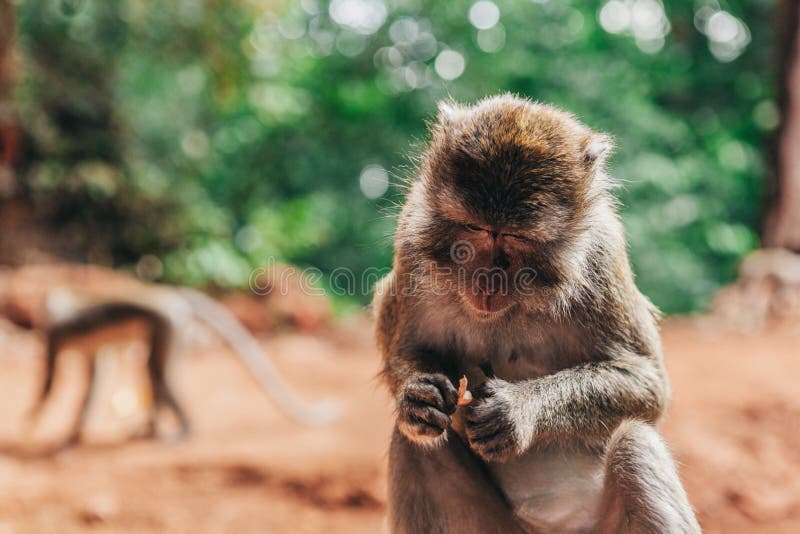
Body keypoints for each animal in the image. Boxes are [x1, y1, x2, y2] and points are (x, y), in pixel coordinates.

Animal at [24, 283, 339, 448]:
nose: (41, 312)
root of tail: (171, 295)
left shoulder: (55, 333)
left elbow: (50, 380)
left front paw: (34, 418)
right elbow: (94, 381)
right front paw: (73, 434)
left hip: (165, 323)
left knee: (155, 371)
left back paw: (185, 428)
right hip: (177, 330)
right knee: (159, 371)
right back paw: (150, 426)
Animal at [374, 94, 700, 533]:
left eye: (515, 238)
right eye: (475, 229)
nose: (488, 280)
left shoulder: (601, 254)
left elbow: (646, 382)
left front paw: (518, 410)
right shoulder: (412, 236)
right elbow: (407, 350)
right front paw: (418, 396)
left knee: (634, 445)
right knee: (415, 445)